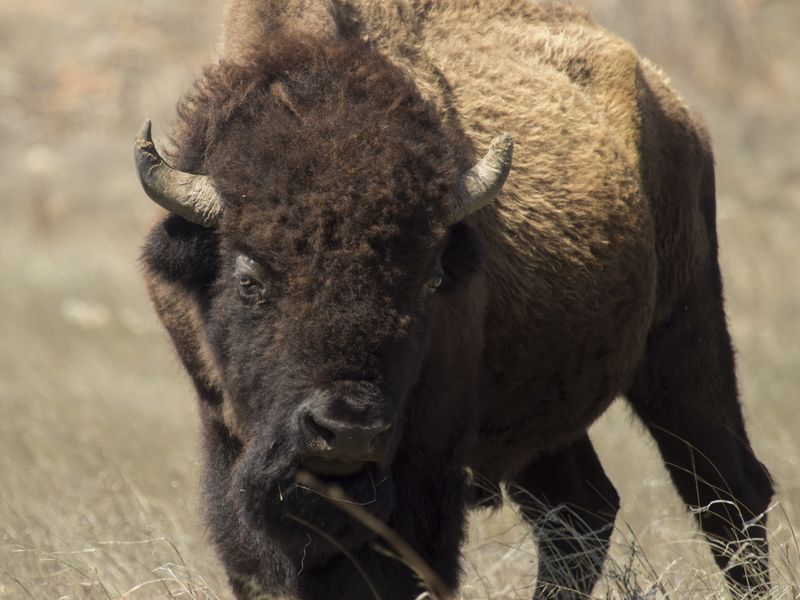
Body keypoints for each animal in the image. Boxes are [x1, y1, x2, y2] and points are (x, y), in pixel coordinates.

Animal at [137, 1, 774, 598]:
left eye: (428, 281)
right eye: (250, 280)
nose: (347, 430)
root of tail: (676, 111)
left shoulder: (426, 457)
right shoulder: (224, 430)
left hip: (684, 340)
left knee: (729, 493)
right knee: (582, 511)